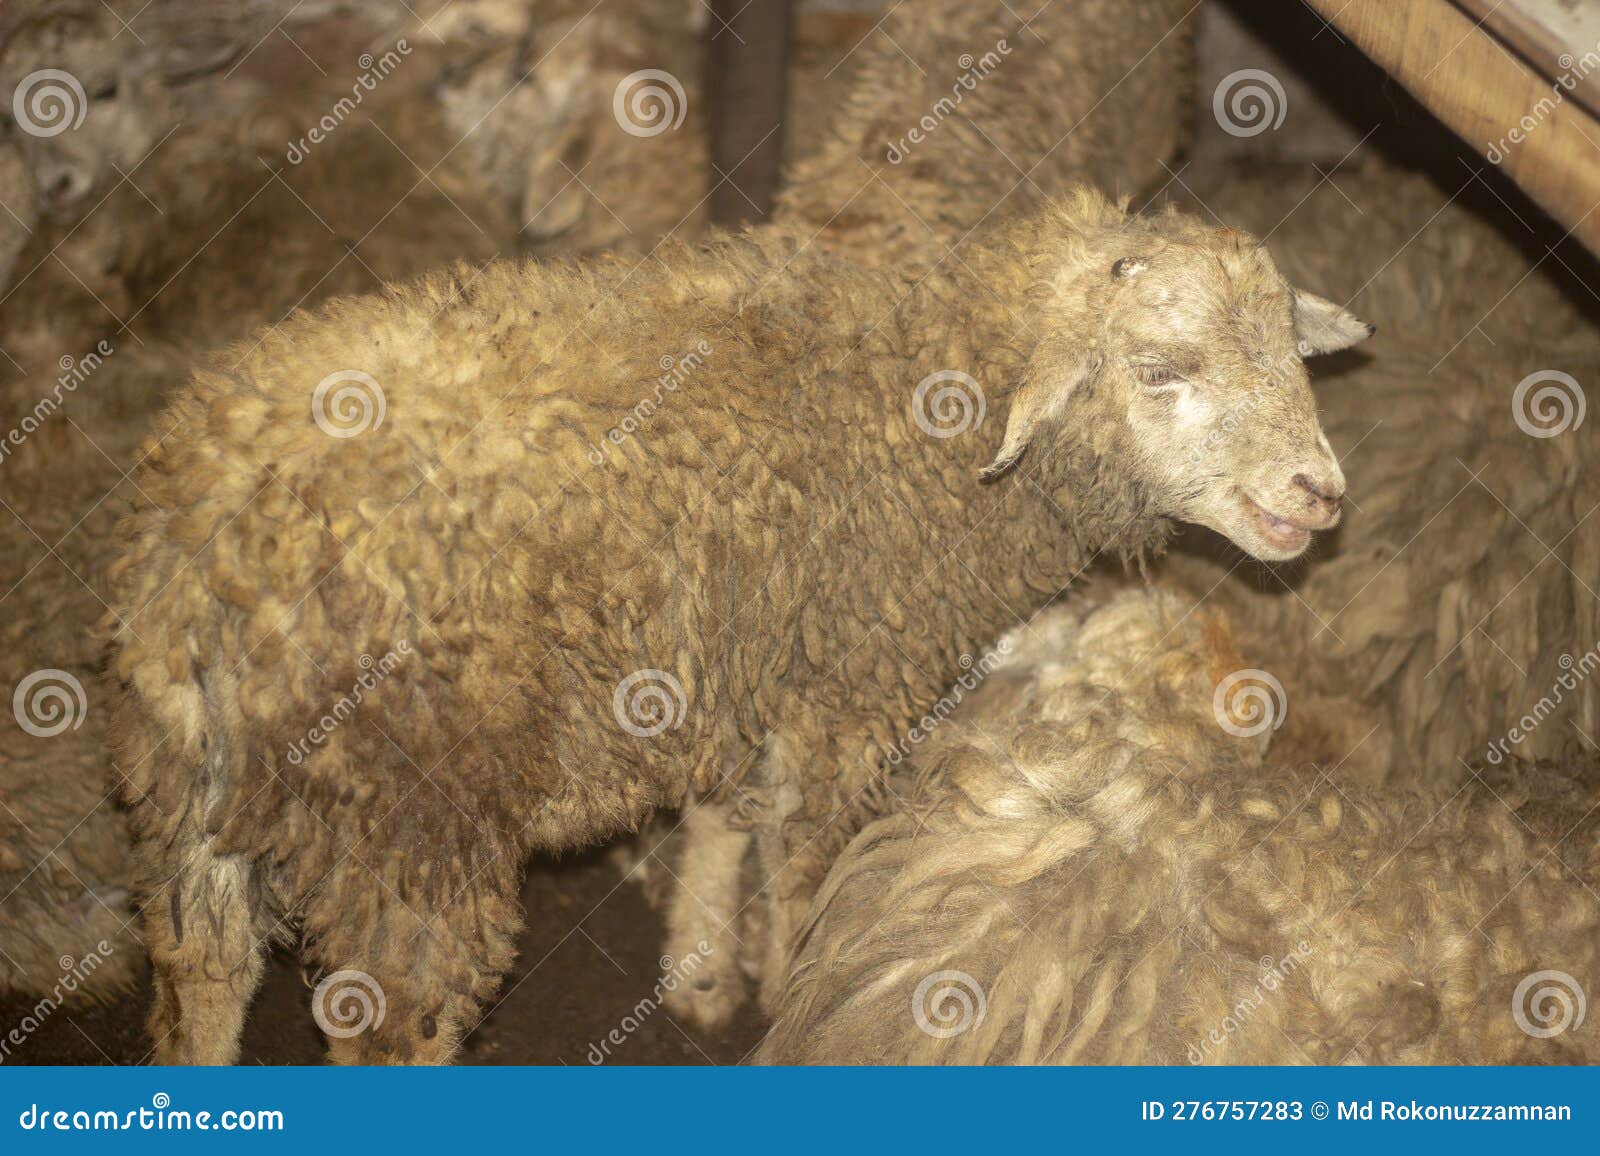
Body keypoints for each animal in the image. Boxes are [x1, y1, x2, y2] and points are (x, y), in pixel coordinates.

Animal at [104, 185, 1371, 1063]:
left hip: (188, 808)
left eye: (1288, 357)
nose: (1321, 494)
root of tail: (197, 554)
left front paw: (703, 969)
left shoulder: (731, 649)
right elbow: (806, 864)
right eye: (1160, 369)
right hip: (409, 822)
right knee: (388, 1030)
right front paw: (794, 980)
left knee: (200, 980)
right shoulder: (844, 691)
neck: (923, 398)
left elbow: (720, 814)